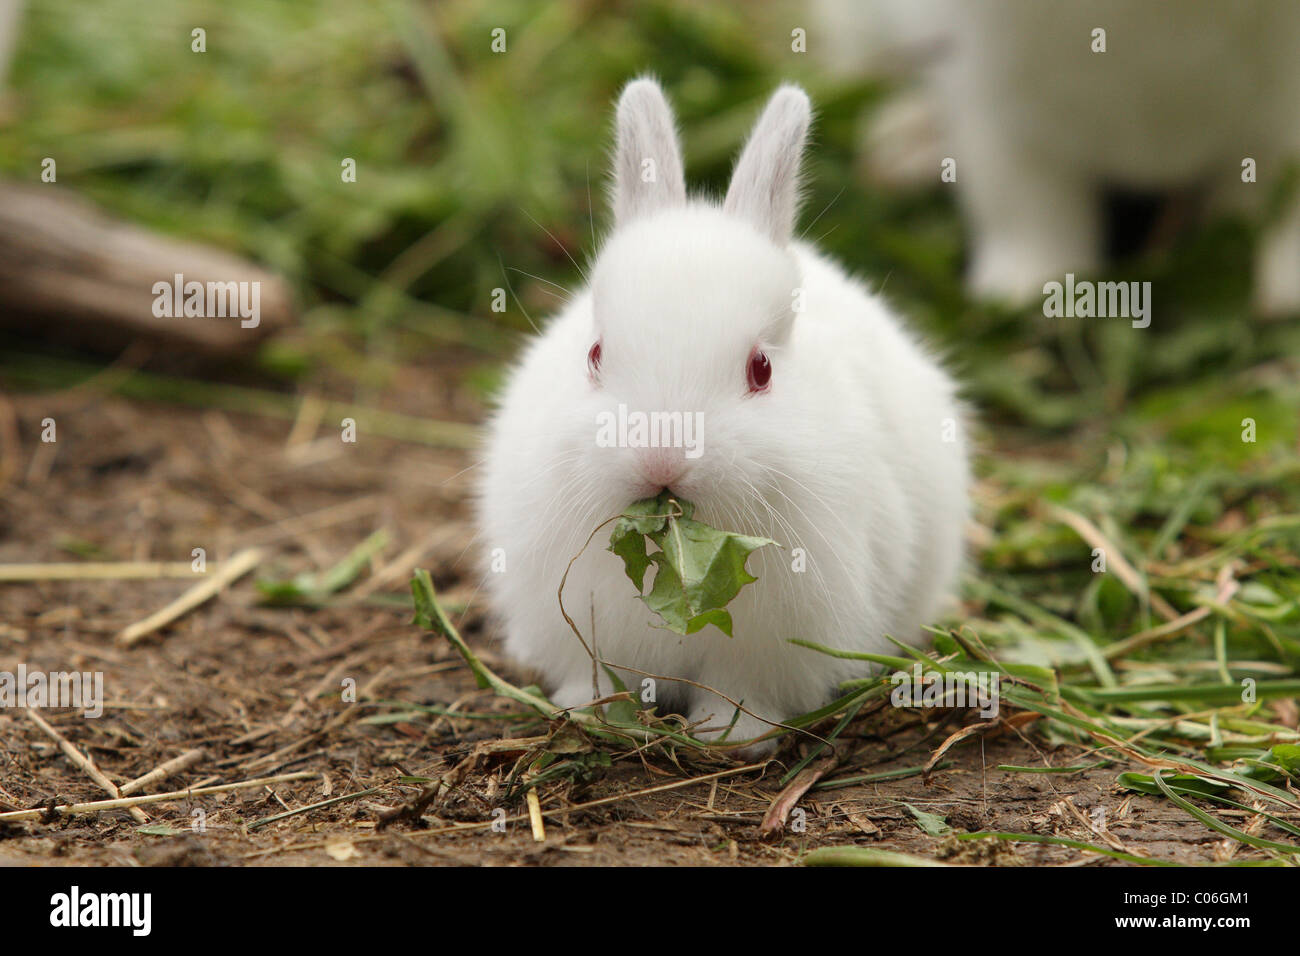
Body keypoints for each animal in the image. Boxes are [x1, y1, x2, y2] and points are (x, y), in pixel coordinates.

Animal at [477, 78, 970, 756]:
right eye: (595, 355)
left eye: (761, 369)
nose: (661, 459)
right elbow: (594, 672)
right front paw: (593, 713)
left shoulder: (773, 646)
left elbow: (741, 693)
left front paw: (730, 736)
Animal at [813, 0, 1300, 314]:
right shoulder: (992, 95)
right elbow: (1024, 204)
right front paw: (1025, 293)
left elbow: (1278, 209)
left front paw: (1282, 292)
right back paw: (905, 142)